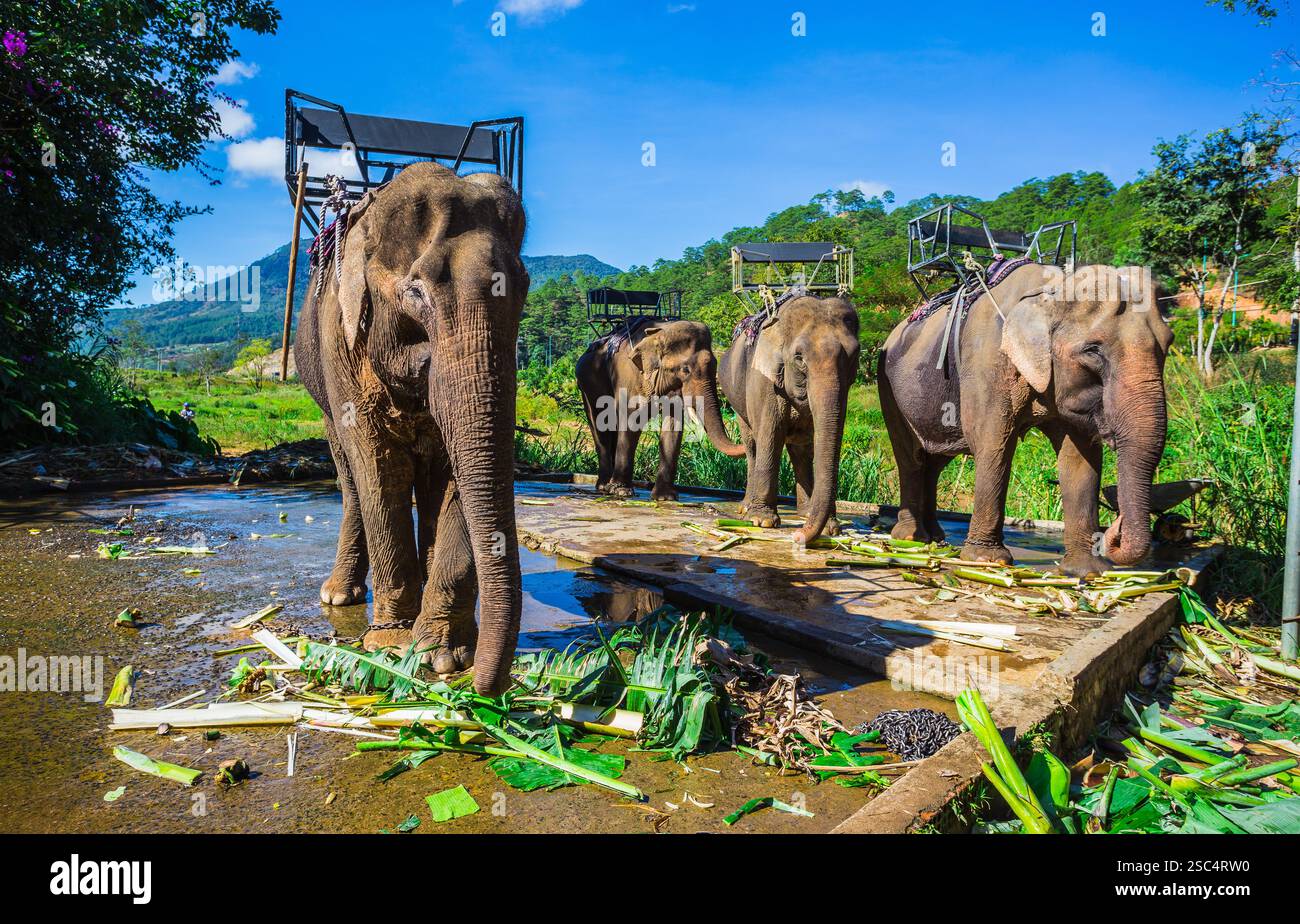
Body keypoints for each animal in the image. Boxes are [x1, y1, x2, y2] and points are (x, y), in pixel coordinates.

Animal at [294, 161, 529, 695]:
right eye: (416, 292)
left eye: (524, 288)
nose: (483, 688)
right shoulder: (342, 343)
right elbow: (379, 468)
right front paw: (393, 645)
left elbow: (456, 471)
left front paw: (443, 655)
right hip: (319, 388)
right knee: (351, 479)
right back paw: (339, 596)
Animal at [575, 318, 745, 500]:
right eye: (685, 369)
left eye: (715, 366)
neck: (661, 331)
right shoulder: (629, 378)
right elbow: (630, 422)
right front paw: (621, 491)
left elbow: (673, 426)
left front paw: (665, 498)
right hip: (587, 382)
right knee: (600, 423)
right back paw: (604, 486)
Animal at [718, 295, 861, 543]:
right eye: (799, 357)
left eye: (855, 355)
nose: (798, 536)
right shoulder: (763, 381)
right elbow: (770, 435)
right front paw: (762, 522)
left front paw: (830, 528)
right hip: (738, 402)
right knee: (753, 445)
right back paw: (746, 508)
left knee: (801, 450)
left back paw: (803, 513)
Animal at [877, 262, 1173, 577]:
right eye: (1093, 350)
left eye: (1168, 344)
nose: (1115, 529)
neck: (1052, 289)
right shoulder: (987, 362)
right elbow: (993, 442)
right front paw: (987, 561)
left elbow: (1079, 459)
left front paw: (1088, 571)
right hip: (888, 386)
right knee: (910, 456)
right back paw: (911, 538)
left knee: (935, 461)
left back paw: (935, 537)